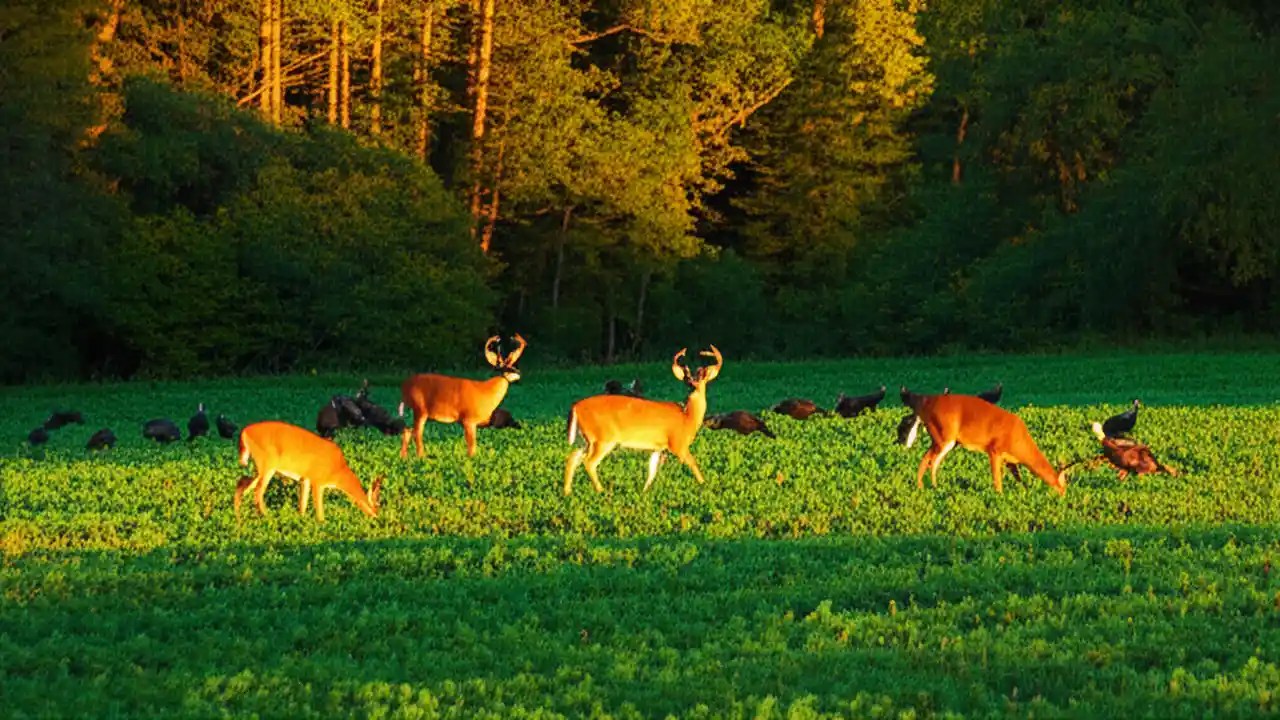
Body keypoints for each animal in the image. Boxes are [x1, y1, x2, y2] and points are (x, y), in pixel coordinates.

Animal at [234, 421, 382, 523]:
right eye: (376, 505)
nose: (377, 517)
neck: (338, 471)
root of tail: (244, 432)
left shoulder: (305, 479)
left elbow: (303, 504)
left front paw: (301, 520)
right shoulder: (318, 480)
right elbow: (319, 511)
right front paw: (322, 525)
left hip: (260, 468)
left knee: (241, 483)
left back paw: (239, 519)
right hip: (267, 465)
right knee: (257, 491)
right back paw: (267, 516)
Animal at [564, 345, 723, 496]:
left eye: (701, 379)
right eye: (687, 380)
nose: (692, 387)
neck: (688, 418)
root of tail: (575, 407)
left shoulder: (658, 448)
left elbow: (651, 472)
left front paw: (644, 492)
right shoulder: (678, 444)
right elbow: (693, 463)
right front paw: (705, 485)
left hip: (586, 439)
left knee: (572, 457)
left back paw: (567, 492)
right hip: (603, 438)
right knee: (589, 462)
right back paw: (600, 490)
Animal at [900, 387, 1067, 496]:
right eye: (1063, 483)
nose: (1064, 494)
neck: (1020, 442)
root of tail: (925, 405)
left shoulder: (1009, 460)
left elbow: (1018, 478)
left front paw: (1024, 491)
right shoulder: (994, 450)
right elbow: (996, 478)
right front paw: (999, 495)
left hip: (945, 441)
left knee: (929, 461)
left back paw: (928, 487)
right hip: (943, 436)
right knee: (930, 461)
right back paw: (929, 487)